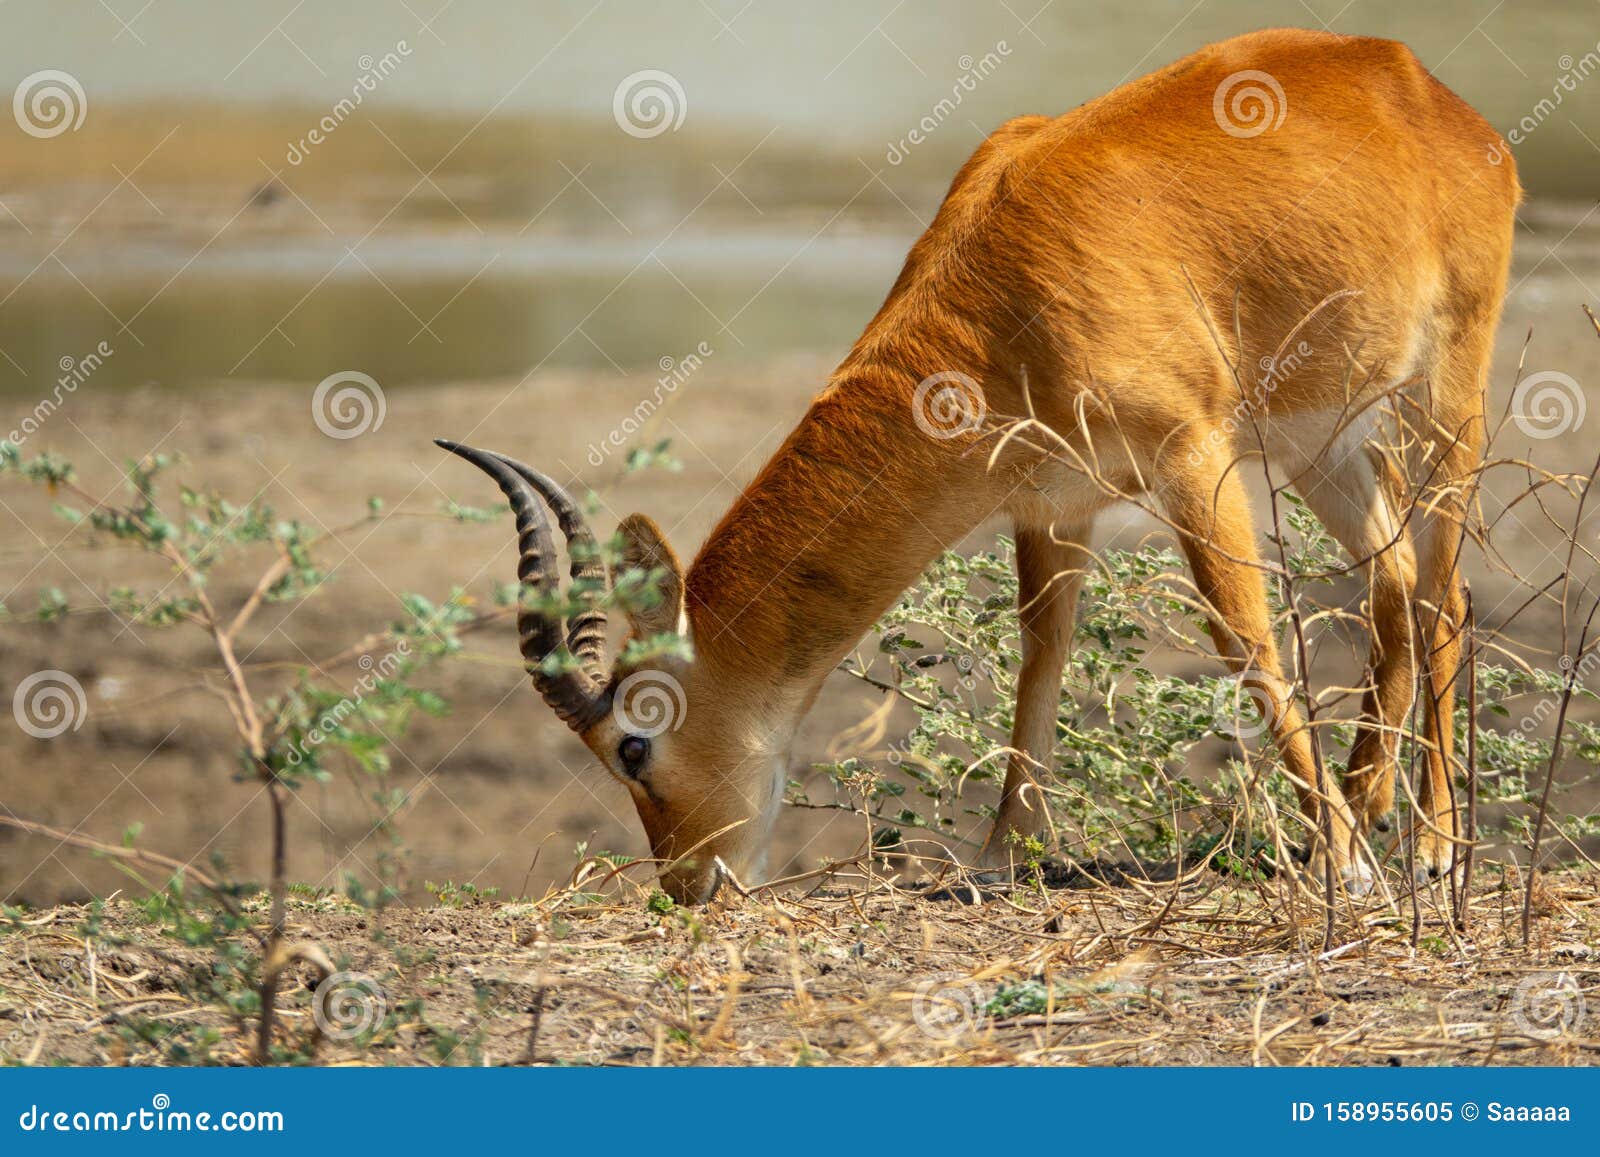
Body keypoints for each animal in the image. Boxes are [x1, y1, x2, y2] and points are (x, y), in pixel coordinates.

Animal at [442, 28, 1518, 902]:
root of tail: (1422, 87)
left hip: (1443, 389)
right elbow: (1040, 660)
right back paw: (1371, 803)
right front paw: (1005, 856)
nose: (685, 886)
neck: (1006, 287)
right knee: (1393, 577)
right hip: (1315, 438)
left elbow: (1246, 643)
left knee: (1443, 591)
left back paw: (1429, 847)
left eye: (632, 743)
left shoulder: (1192, 455)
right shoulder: (1049, 502)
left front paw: (1343, 864)